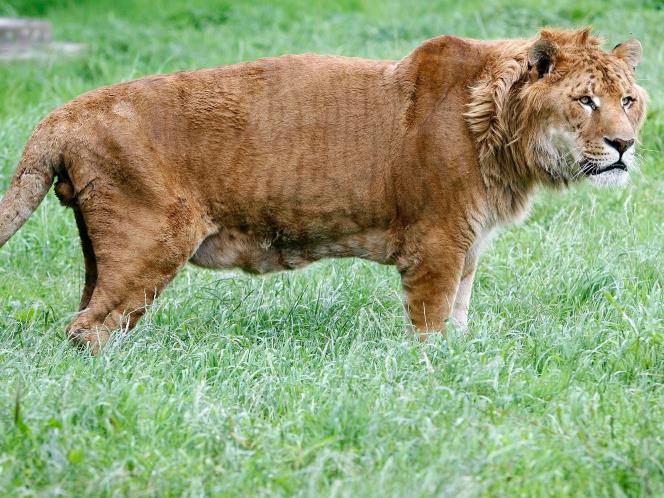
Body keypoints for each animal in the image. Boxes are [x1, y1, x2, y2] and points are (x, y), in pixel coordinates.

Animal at [0, 27, 647, 353]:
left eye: (628, 99)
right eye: (585, 100)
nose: (623, 145)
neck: (502, 134)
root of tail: (64, 114)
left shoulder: (468, 244)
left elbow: (461, 313)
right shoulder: (437, 242)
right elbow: (433, 321)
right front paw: (433, 375)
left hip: (105, 250)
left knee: (87, 315)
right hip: (150, 241)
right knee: (87, 328)